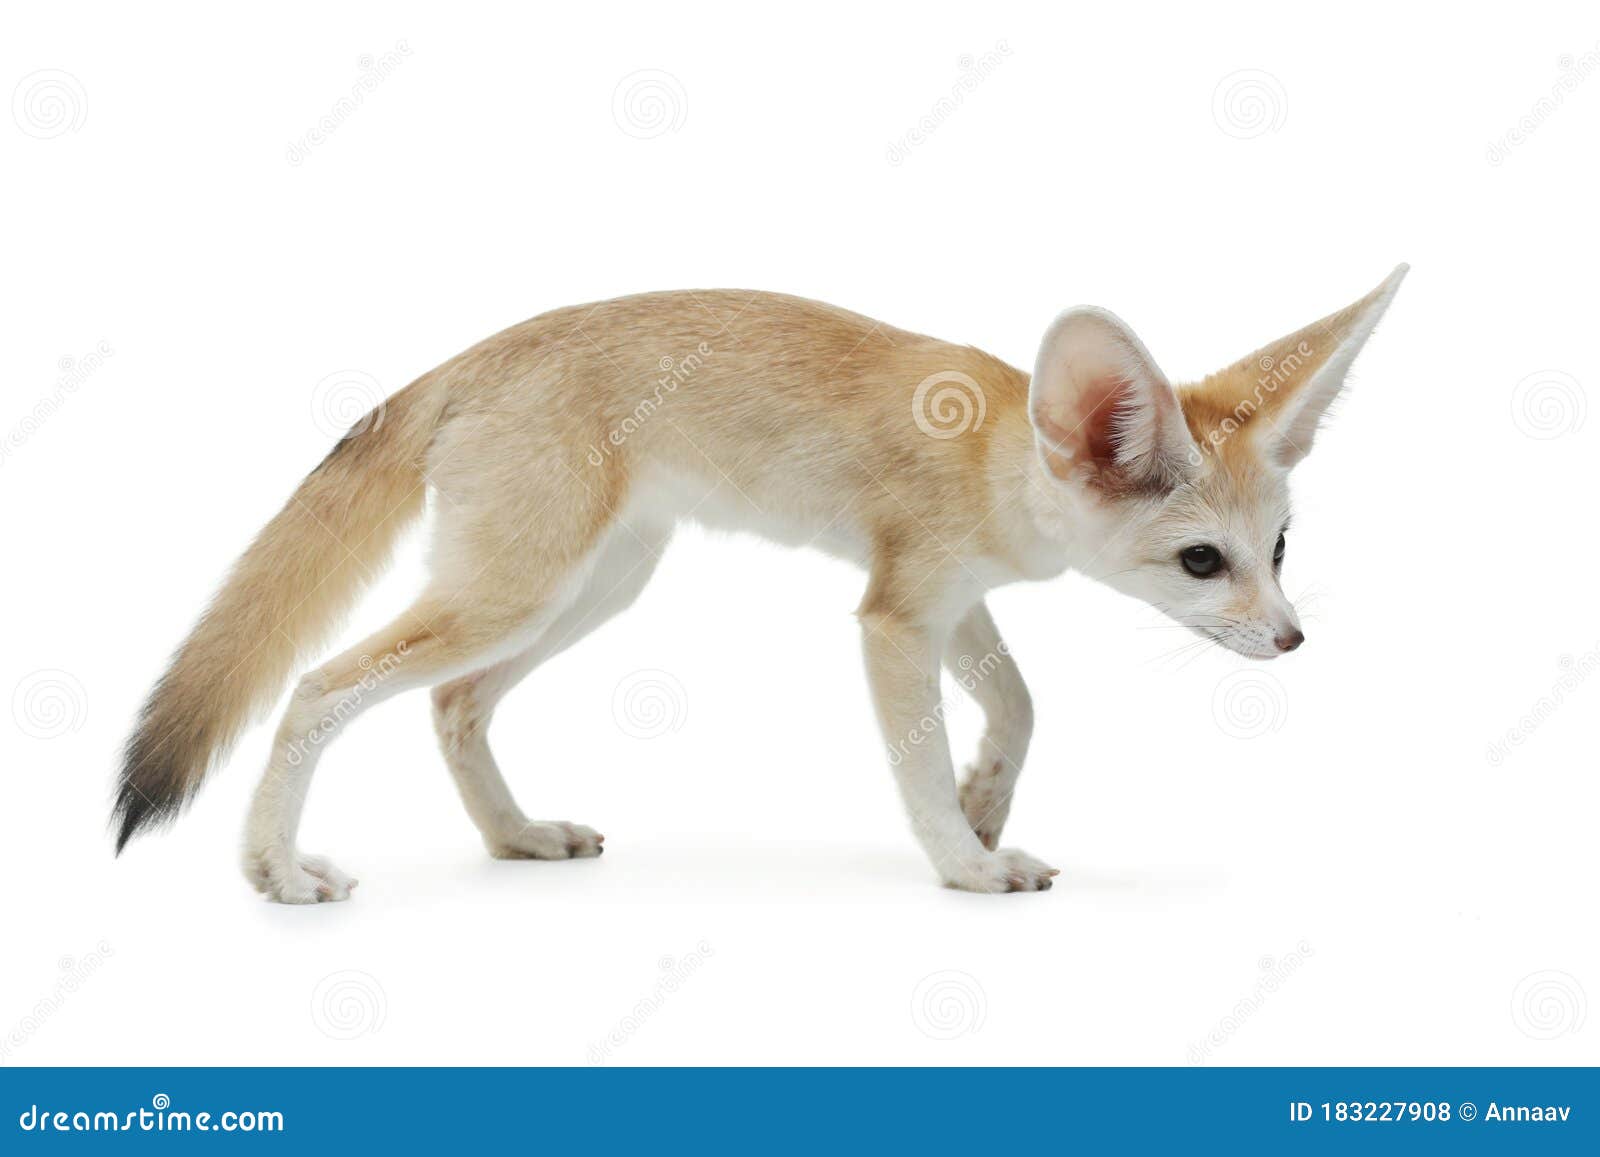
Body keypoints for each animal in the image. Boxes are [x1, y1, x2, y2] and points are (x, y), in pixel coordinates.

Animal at [113, 266, 1407, 902]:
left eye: (1278, 548)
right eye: (1201, 561)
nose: (1292, 640)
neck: (996, 443)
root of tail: (471, 356)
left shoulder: (946, 600)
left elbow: (1022, 706)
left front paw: (988, 800)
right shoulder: (892, 617)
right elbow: (923, 766)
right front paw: (965, 861)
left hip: (588, 591)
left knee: (452, 703)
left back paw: (515, 837)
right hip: (514, 595)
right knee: (315, 688)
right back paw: (275, 869)